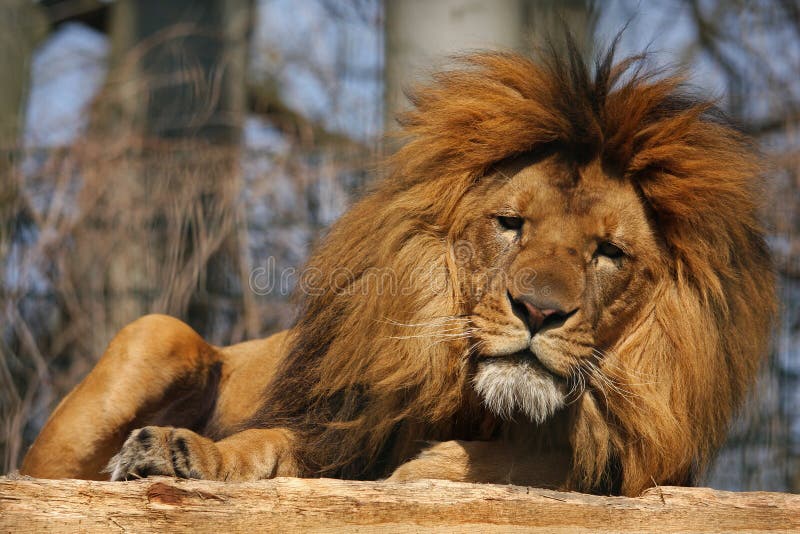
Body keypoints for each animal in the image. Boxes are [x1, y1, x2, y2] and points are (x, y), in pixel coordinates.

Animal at [20, 39, 775, 497]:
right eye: (511, 225)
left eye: (608, 253)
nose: (538, 312)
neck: (484, 411)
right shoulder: (338, 433)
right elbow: (262, 446)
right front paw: (178, 454)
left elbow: (548, 459)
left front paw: (431, 468)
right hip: (156, 331)